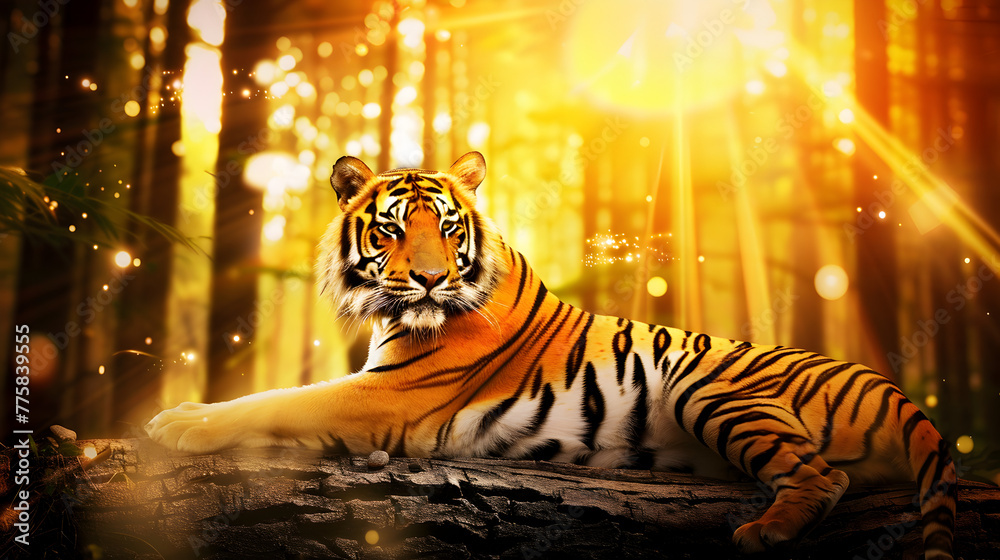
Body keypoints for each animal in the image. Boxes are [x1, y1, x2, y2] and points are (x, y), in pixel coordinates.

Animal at [146, 151, 957, 558]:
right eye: (392, 229)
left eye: (446, 228)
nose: (431, 279)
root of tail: (890, 387)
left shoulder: (387, 395)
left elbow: (280, 399)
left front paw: (181, 421)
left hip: (708, 386)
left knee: (823, 478)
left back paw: (764, 534)